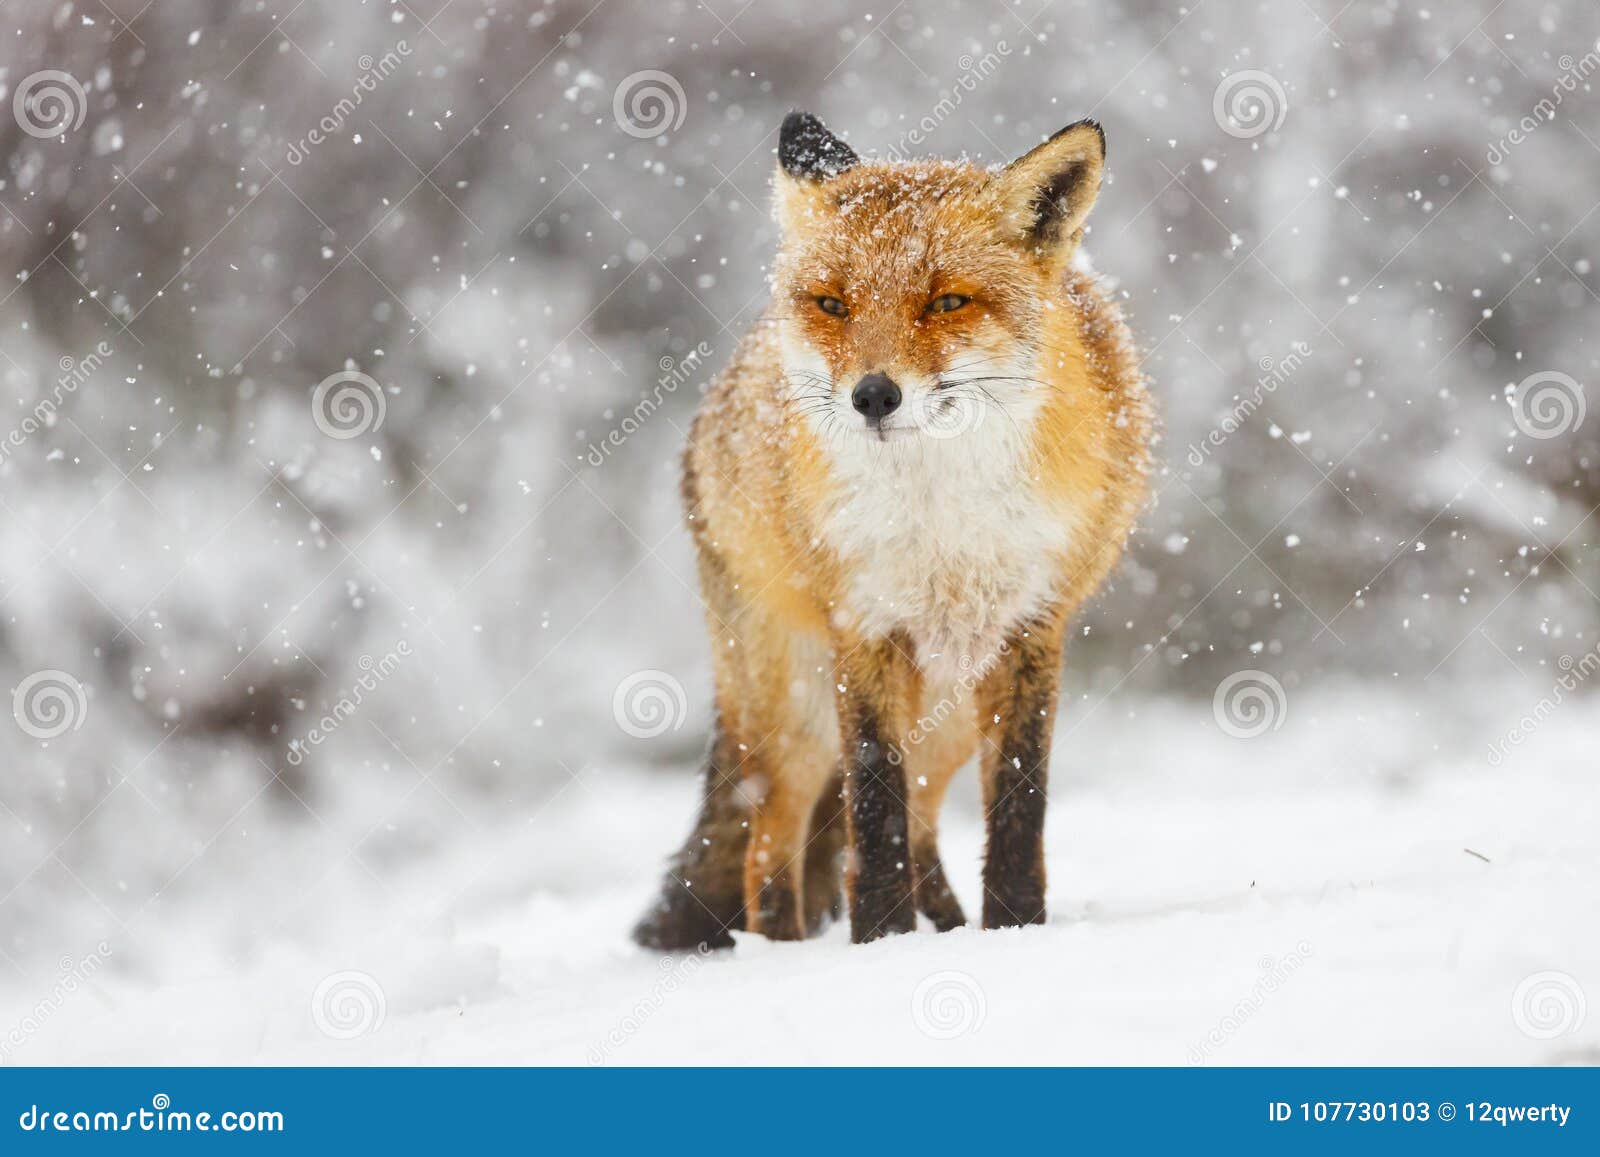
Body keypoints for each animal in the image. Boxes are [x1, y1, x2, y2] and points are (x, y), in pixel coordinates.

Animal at [633, 110, 1154, 949]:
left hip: (945, 717)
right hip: (798, 715)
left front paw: (1015, 931)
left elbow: (1016, 805)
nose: (873, 396)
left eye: (946, 302)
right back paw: (783, 951)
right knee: (770, 850)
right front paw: (880, 942)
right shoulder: (864, 627)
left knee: (924, 830)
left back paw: (946, 925)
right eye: (832, 304)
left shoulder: (1031, 629)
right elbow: (874, 811)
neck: (943, 532)